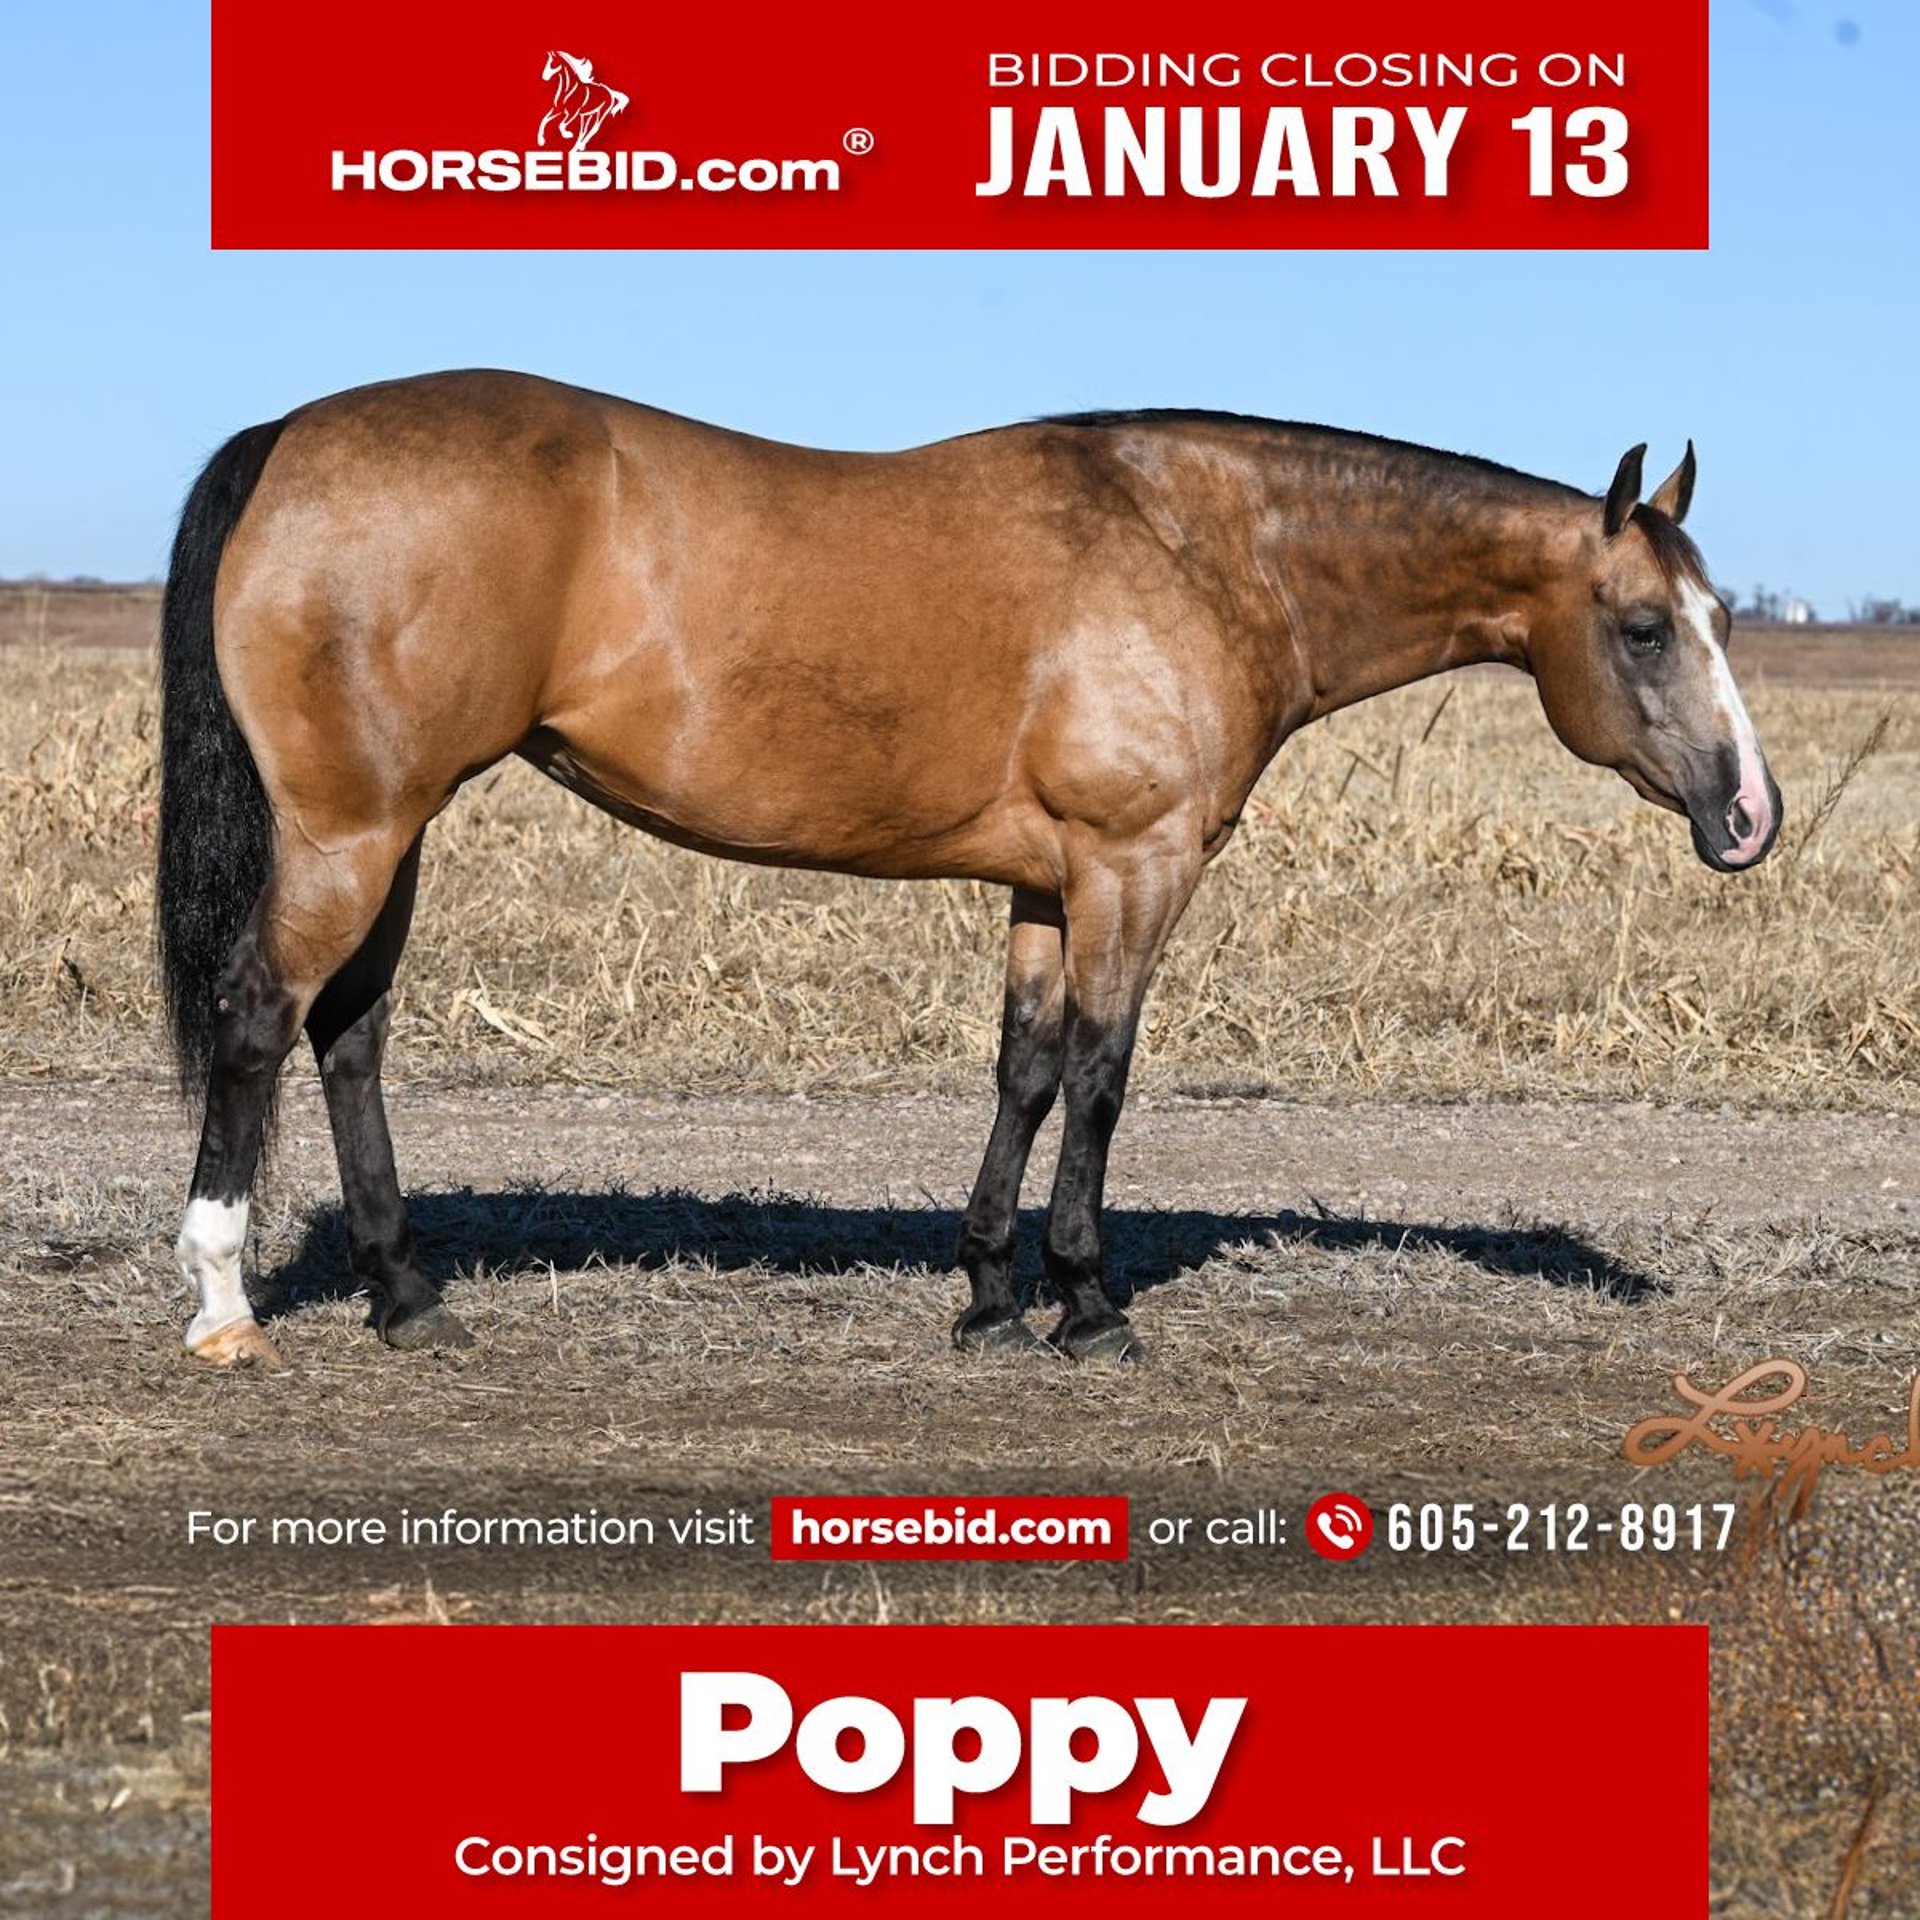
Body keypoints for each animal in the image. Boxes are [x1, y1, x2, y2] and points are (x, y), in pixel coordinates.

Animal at [155, 372, 1782, 1369]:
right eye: (1645, 627)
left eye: (1721, 620)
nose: (1750, 816)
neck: (1205, 547)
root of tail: (290, 436)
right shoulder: (1137, 867)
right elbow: (1106, 1075)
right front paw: (1087, 1304)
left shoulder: (1048, 886)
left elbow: (1027, 1069)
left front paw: (992, 1294)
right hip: (355, 831)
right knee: (259, 1017)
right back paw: (227, 1300)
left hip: (396, 827)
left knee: (350, 1033)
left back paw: (406, 1293)